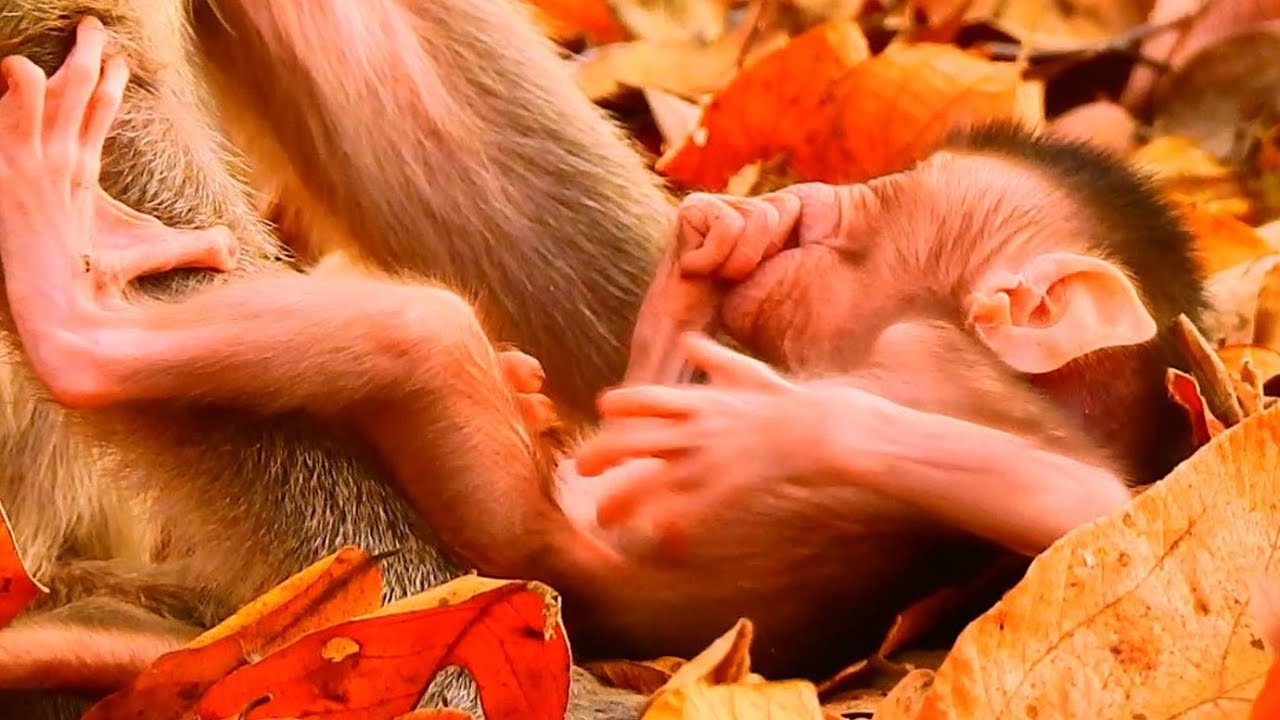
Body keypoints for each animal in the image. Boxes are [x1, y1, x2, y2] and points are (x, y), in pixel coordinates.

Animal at [0, 32, 1206, 686]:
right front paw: (702, 263)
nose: (805, 202)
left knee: (423, 337)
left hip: (509, 530)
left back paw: (69, 294)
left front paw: (773, 428)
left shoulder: (936, 369)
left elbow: (1078, 505)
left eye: (874, 206)